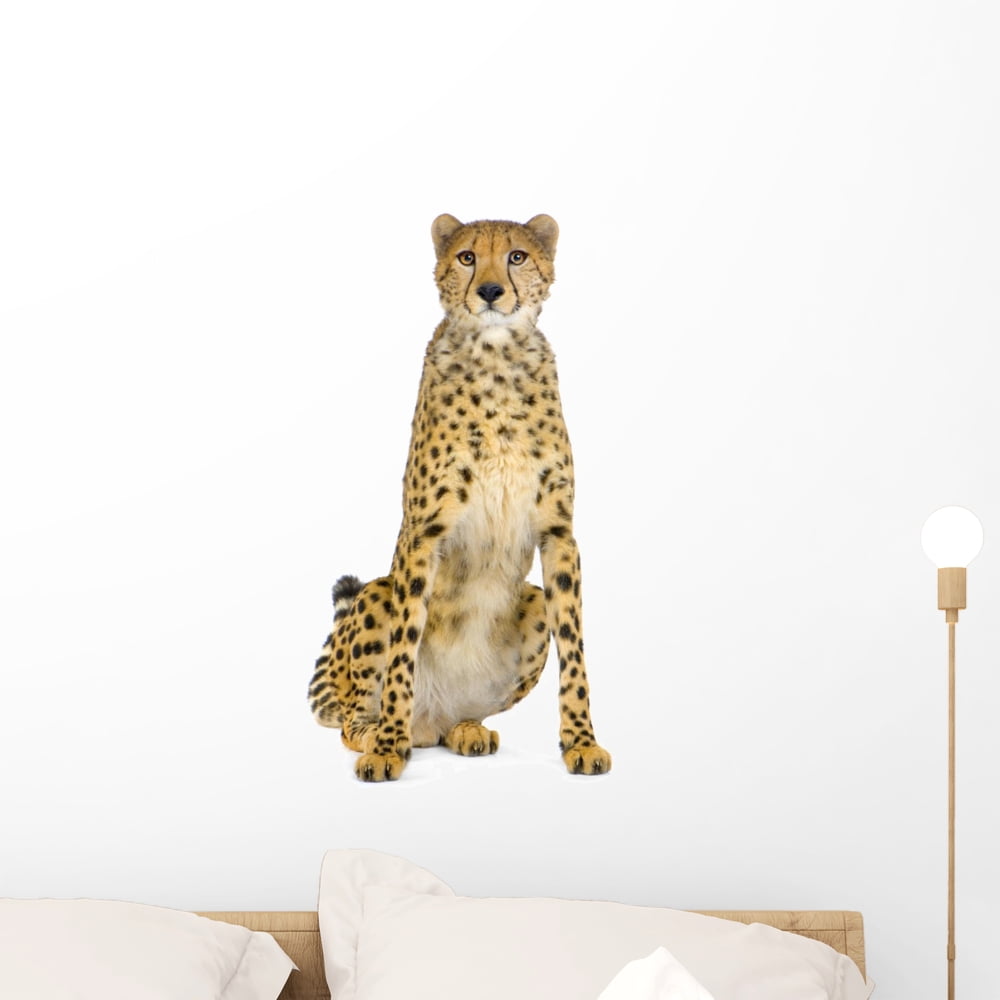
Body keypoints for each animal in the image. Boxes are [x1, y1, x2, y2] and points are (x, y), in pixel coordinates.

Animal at [307, 213, 611, 781]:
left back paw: (465, 728)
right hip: (376, 592)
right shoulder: (423, 533)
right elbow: (403, 647)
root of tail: (430, 720)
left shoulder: (559, 533)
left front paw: (581, 741)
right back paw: (377, 733)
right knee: (353, 714)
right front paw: (387, 749)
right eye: (467, 257)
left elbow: (576, 649)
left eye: (517, 256)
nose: (490, 291)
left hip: (530, 602)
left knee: (455, 719)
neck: (496, 356)